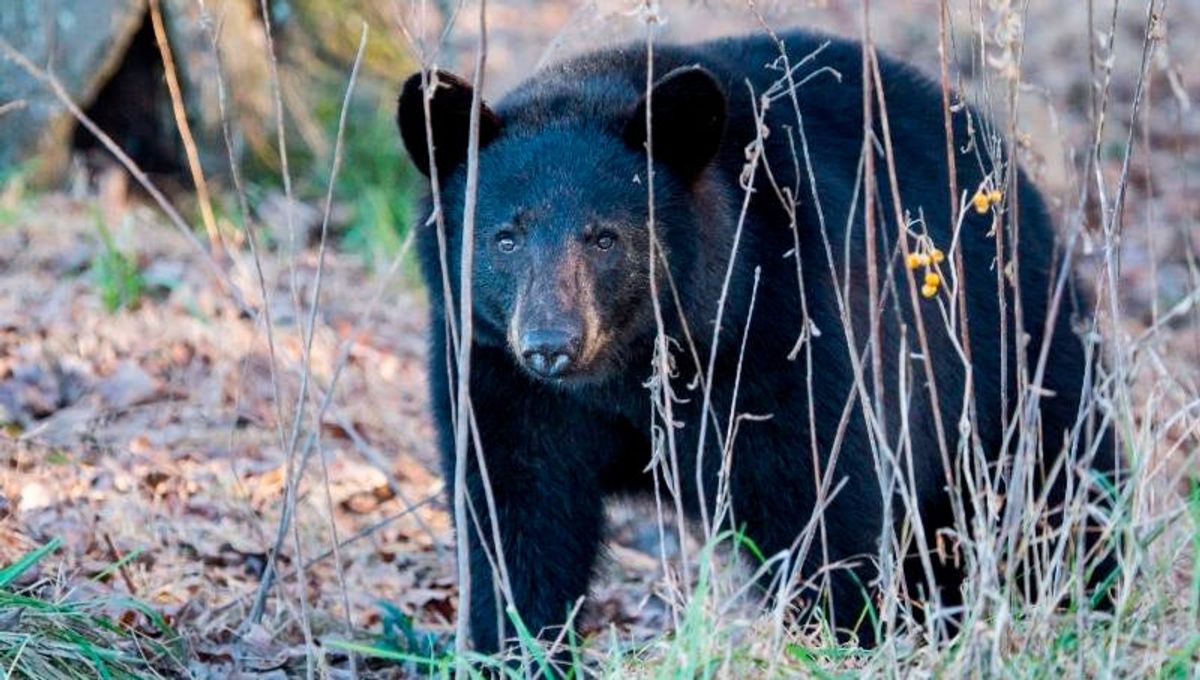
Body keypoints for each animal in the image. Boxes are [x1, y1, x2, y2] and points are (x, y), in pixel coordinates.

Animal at [395, 29, 1119, 653]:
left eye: (605, 238)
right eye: (505, 238)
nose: (551, 343)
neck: (638, 365)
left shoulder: (787, 332)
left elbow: (822, 497)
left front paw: (839, 635)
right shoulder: (491, 364)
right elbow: (517, 509)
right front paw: (513, 644)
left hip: (1010, 343)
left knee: (1061, 475)